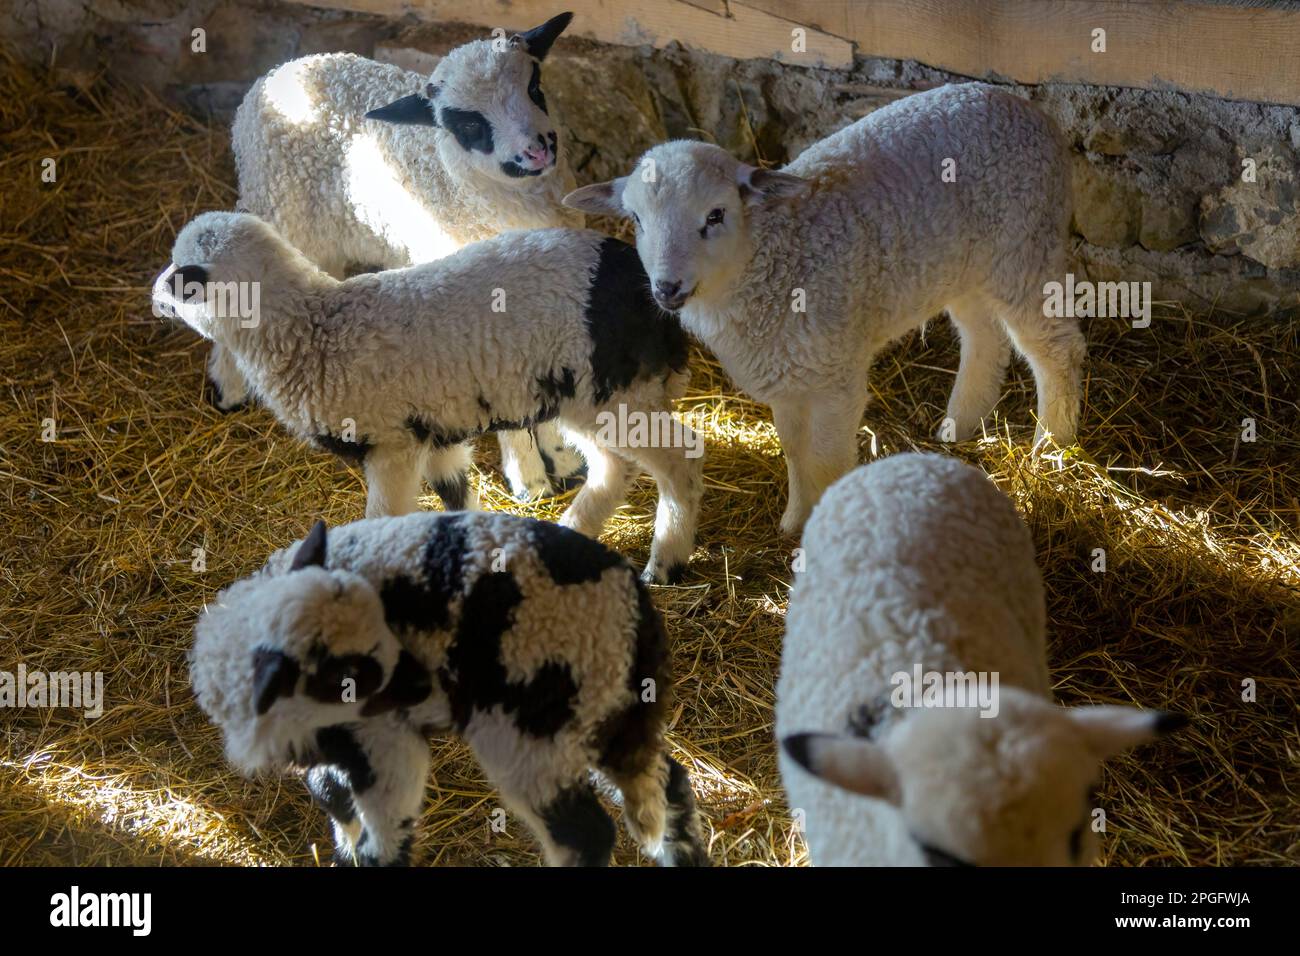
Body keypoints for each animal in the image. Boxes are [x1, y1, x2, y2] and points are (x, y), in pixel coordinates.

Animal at [152, 211, 704, 584]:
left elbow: (384, 520)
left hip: (610, 389)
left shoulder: (391, 444)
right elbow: (456, 494)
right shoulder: (434, 431)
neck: (313, 331)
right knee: (615, 467)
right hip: (586, 397)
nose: (153, 295)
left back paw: (665, 562)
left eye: (182, 277)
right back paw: (574, 532)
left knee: (679, 457)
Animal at [189, 514, 710, 866]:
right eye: (344, 676)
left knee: (586, 834)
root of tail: (632, 607)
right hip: (609, 714)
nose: (421, 684)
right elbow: (331, 796)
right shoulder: (338, 746)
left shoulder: (384, 743)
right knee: (669, 786)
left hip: (534, 732)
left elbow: (383, 835)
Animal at [213, 12, 584, 501]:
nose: (538, 149)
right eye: (468, 125)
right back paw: (227, 390)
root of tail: (282, 71)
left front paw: (560, 460)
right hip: (275, 206)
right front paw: (530, 479)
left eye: (534, 86)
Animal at [564, 82, 1086, 535]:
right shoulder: (788, 380)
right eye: (636, 219)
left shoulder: (837, 379)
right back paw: (961, 424)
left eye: (715, 215)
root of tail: (1022, 104)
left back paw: (1052, 448)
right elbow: (796, 453)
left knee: (1056, 346)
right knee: (984, 336)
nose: (668, 287)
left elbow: (827, 460)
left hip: (1024, 246)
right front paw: (795, 520)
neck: (772, 254)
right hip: (964, 267)